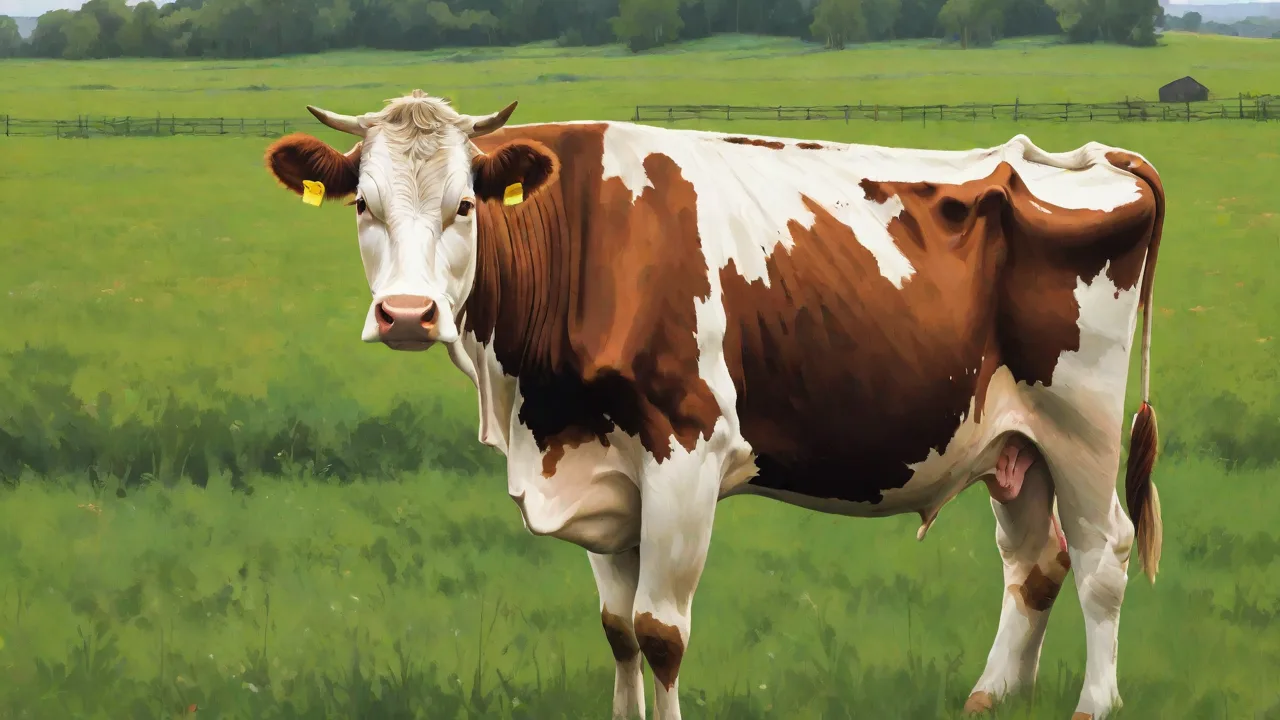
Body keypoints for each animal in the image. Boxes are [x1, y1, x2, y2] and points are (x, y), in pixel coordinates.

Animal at [263, 90, 1165, 720]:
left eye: (463, 205)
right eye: (363, 205)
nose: (407, 315)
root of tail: (1087, 156)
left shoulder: (685, 453)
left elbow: (661, 633)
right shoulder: (601, 462)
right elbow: (618, 627)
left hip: (1081, 422)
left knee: (1104, 554)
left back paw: (1093, 705)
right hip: (1015, 437)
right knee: (1035, 560)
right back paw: (993, 696)